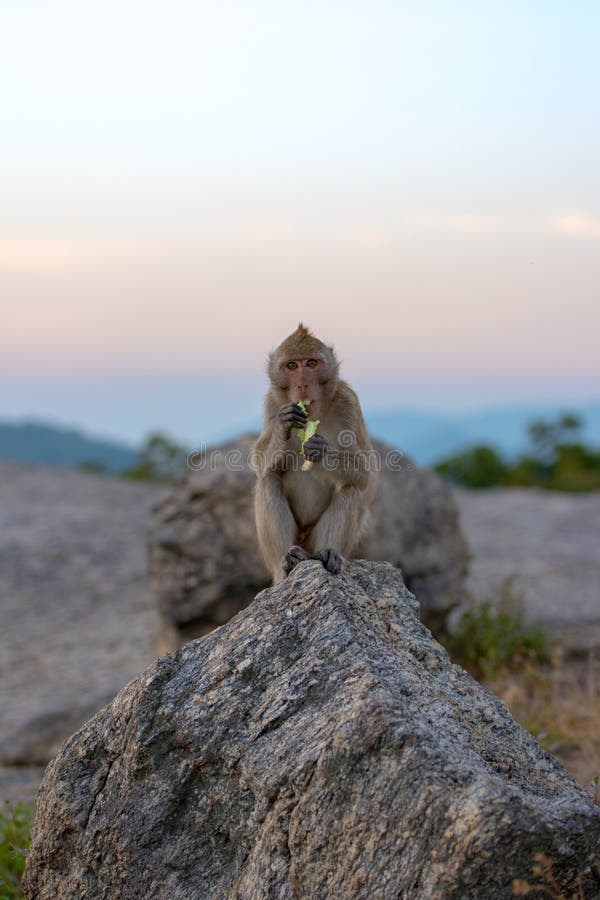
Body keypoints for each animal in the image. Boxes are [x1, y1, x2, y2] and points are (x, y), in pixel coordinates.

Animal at [252, 323, 377, 583]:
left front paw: (319, 451)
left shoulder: (349, 403)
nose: (302, 385)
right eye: (291, 366)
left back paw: (329, 555)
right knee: (268, 480)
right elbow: (258, 461)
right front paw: (284, 425)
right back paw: (287, 563)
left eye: (311, 364)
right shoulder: (272, 403)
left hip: (316, 539)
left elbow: (364, 473)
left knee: (349, 488)